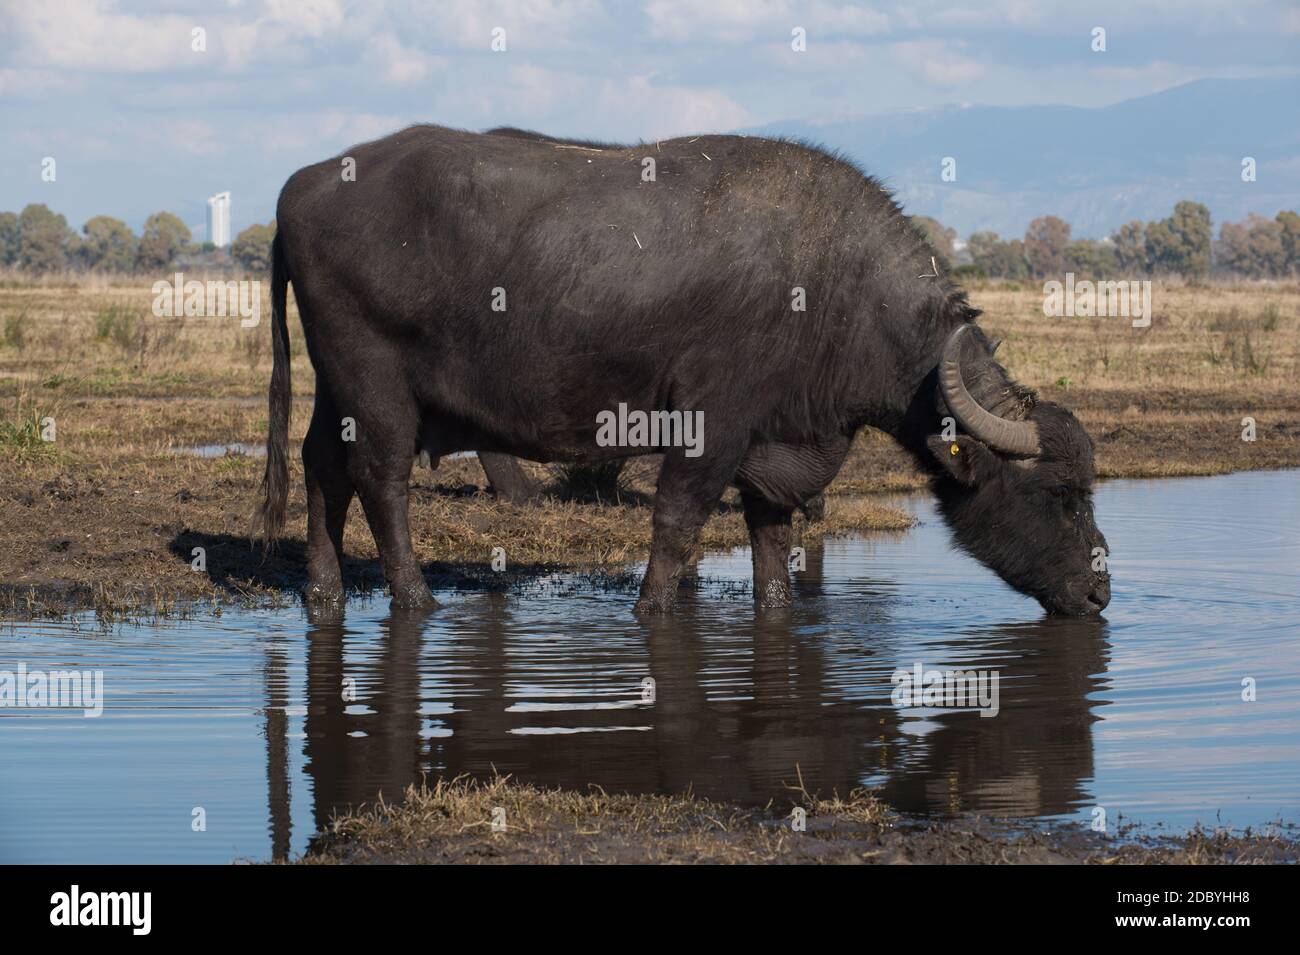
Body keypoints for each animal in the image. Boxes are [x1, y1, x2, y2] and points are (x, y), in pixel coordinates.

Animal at [259, 126, 1111, 617]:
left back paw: (324, 589)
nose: (1100, 590)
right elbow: (676, 522)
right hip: (376, 381)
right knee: (381, 479)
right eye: (1063, 498)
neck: (836, 290)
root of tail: (301, 184)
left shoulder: (778, 441)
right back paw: (415, 597)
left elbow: (771, 538)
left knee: (321, 466)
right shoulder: (713, 423)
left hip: (336, 384)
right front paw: (653, 607)